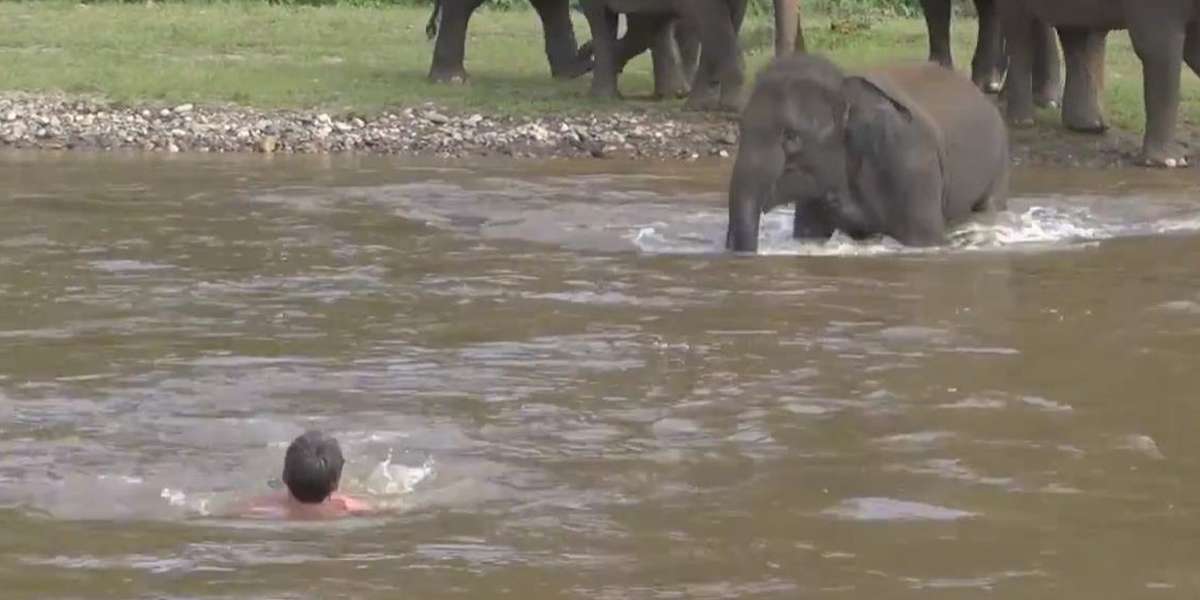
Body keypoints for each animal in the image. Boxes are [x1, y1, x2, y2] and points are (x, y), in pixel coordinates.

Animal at [580, 0, 799, 110]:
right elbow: (713, 20)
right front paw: (736, 107)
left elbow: (731, 17)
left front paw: (699, 105)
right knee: (601, 19)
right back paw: (603, 95)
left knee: (648, 25)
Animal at [726, 55, 1009, 251]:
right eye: (741, 128)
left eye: (791, 137)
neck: (844, 89)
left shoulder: (913, 165)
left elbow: (923, 238)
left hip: (997, 166)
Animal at [997, 0, 1200, 167]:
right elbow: (1156, 48)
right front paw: (1171, 162)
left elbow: (1193, 49)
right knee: (1020, 33)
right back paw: (1023, 122)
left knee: (1078, 31)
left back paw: (1090, 127)